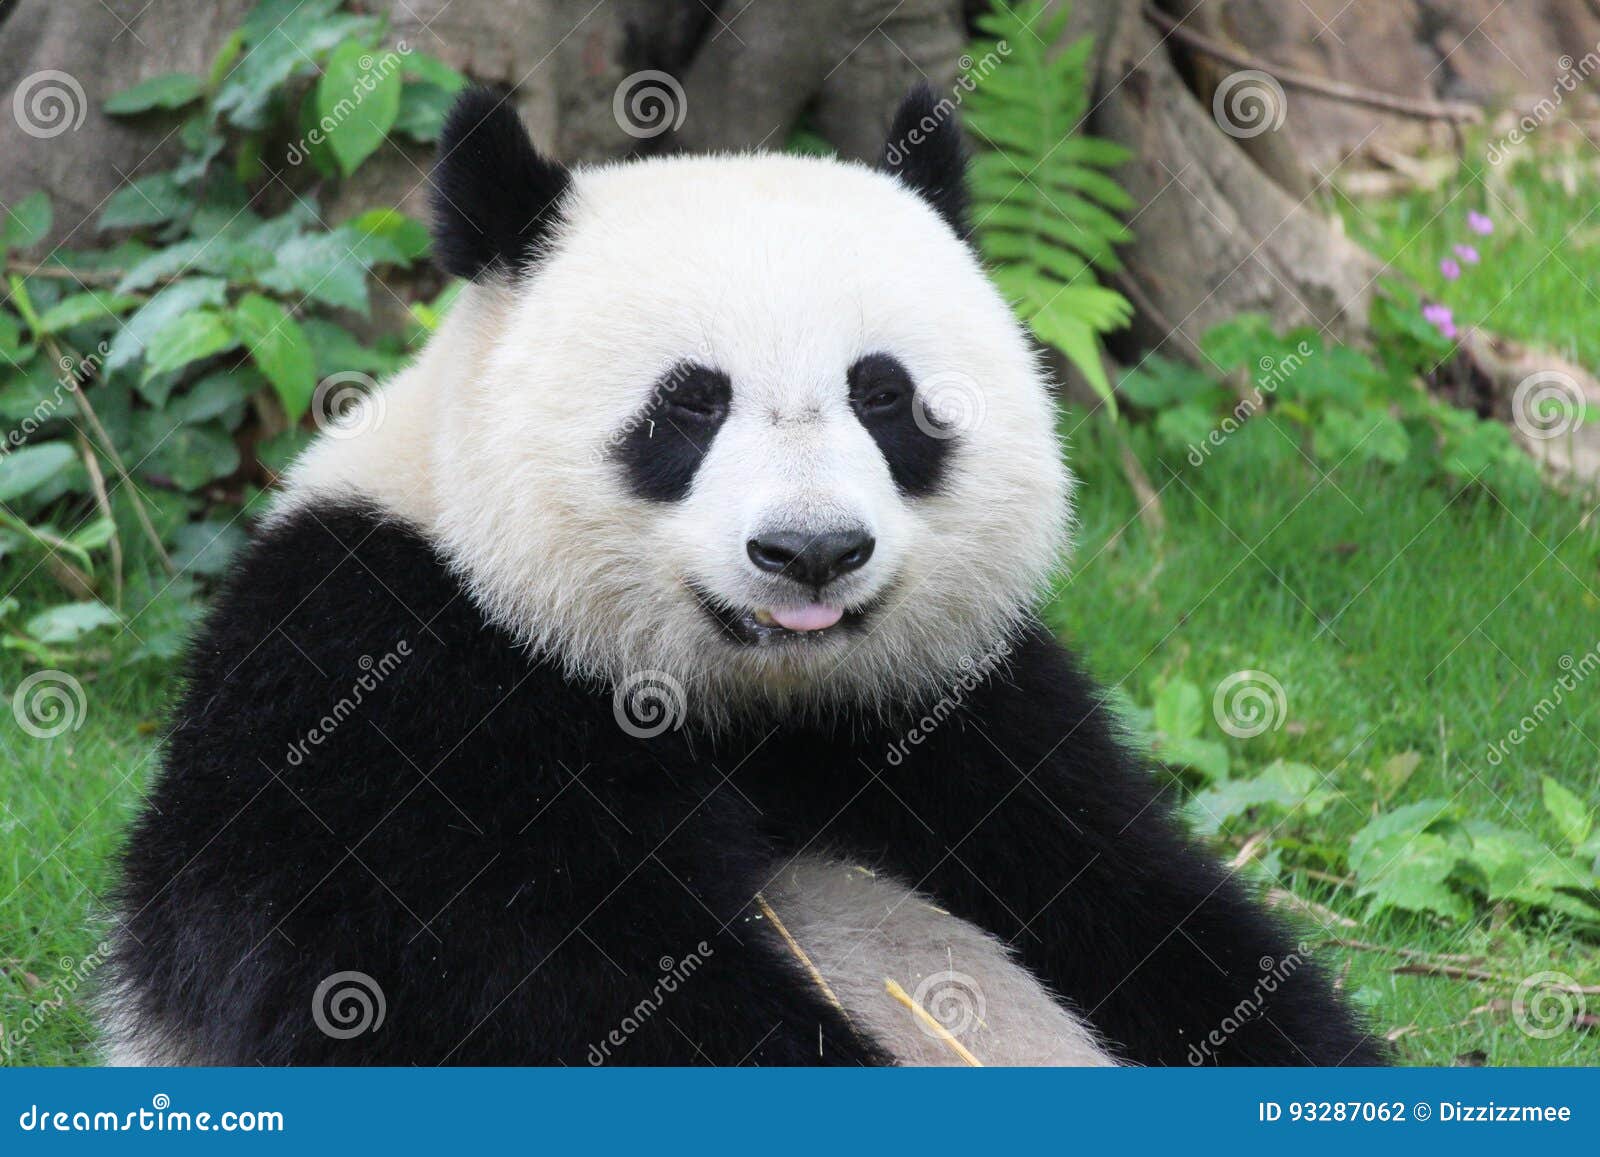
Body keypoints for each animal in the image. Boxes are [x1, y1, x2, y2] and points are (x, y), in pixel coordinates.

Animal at [101, 86, 1381, 1067]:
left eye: (885, 395)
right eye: (688, 403)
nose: (811, 550)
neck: (747, 701)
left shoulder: (959, 700)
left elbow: (1143, 904)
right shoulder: (380, 676)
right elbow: (524, 982)